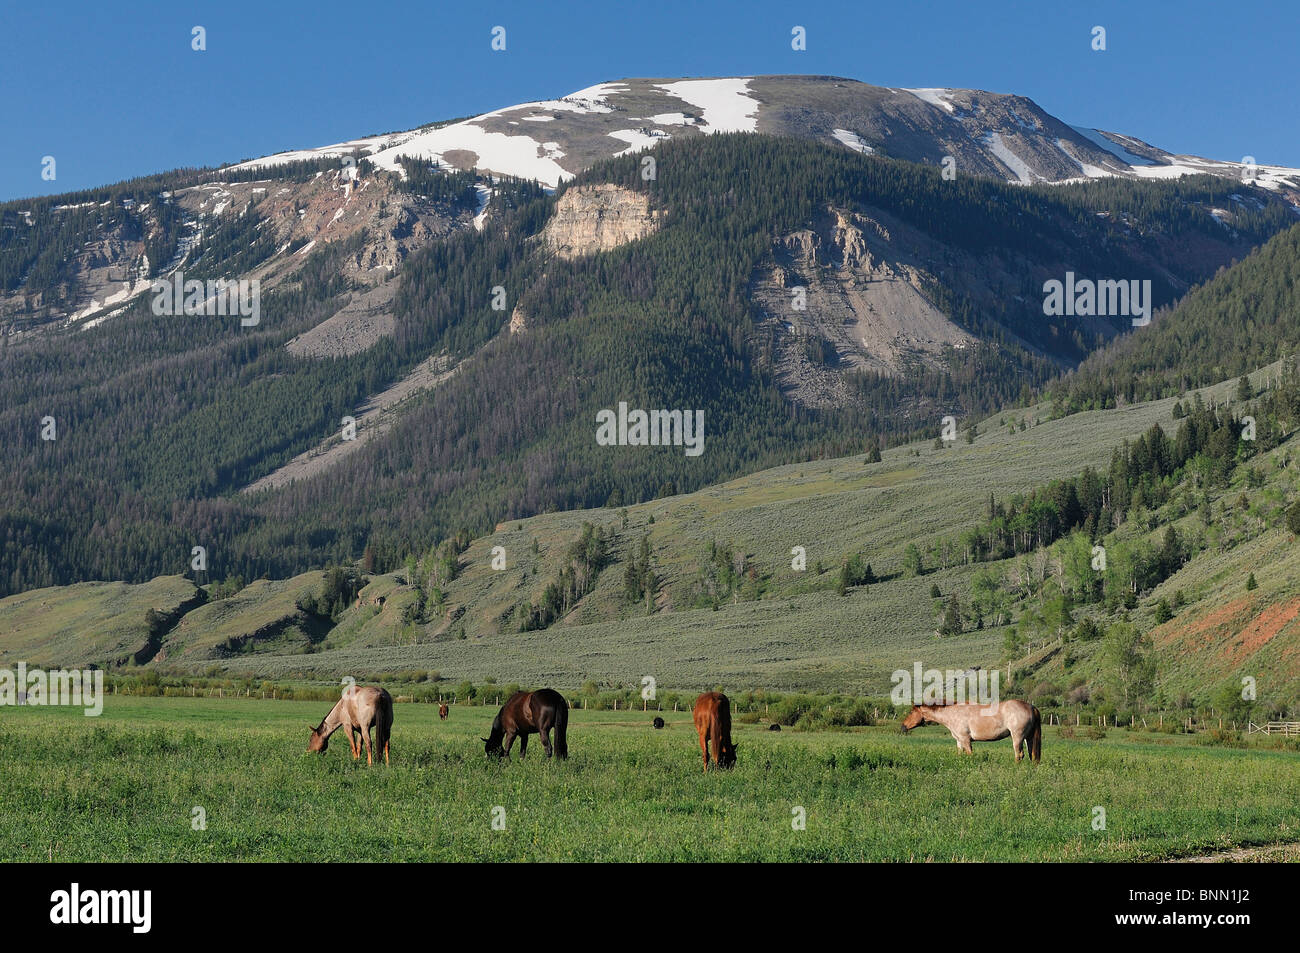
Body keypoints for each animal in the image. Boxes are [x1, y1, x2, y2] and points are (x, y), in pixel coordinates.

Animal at [901, 699, 1041, 762]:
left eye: (911, 712)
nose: (903, 726)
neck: (952, 713)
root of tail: (1031, 706)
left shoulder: (966, 740)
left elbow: (969, 755)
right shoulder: (959, 741)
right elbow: (959, 754)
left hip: (1017, 737)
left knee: (1019, 755)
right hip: (1028, 738)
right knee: (1032, 754)